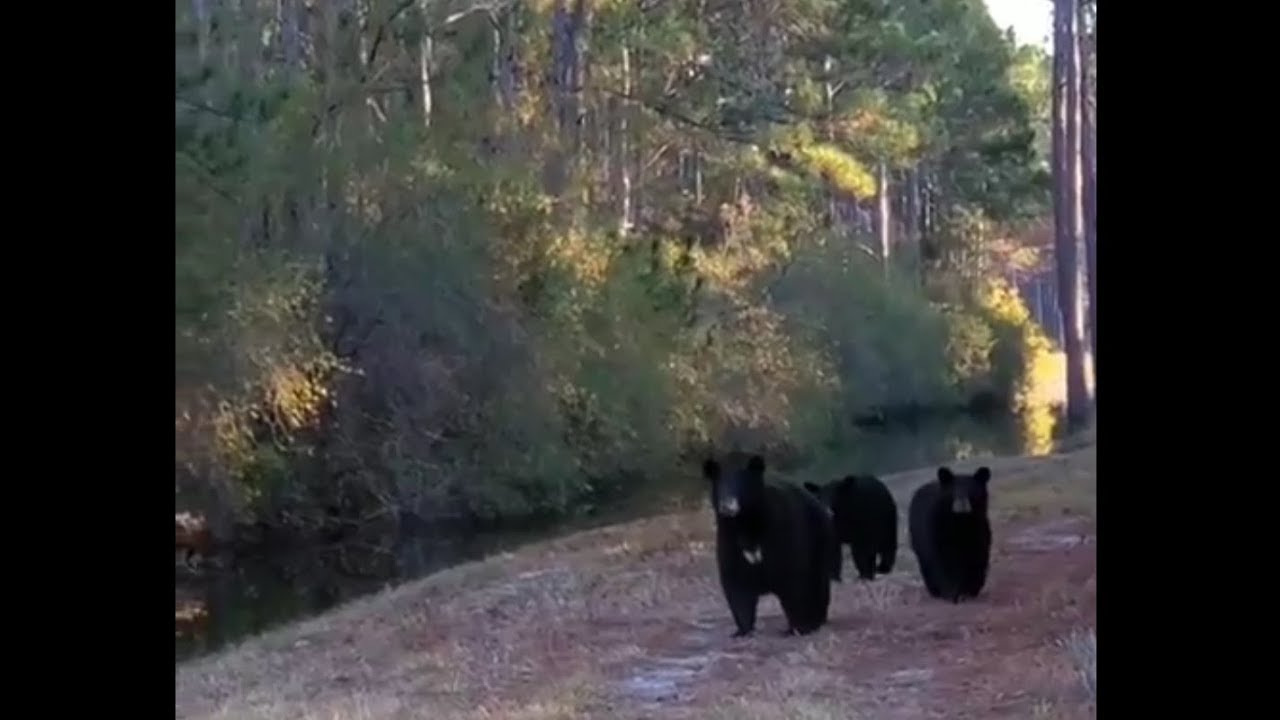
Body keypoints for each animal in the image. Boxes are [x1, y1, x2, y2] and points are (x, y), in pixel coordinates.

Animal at [703, 453, 838, 637]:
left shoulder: (783, 536)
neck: (746, 524)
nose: (727, 505)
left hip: (819, 543)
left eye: (742, 485)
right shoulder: (730, 543)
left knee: (817, 583)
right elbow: (737, 586)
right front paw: (742, 630)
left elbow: (794, 581)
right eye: (720, 486)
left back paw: (817, 619)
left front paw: (799, 627)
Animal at [908, 465, 993, 603]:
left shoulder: (979, 528)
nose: (961, 504)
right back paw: (935, 591)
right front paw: (953, 593)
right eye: (954, 492)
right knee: (926, 563)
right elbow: (944, 562)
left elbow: (977, 556)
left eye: (971, 491)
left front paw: (971, 590)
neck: (960, 522)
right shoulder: (937, 529)